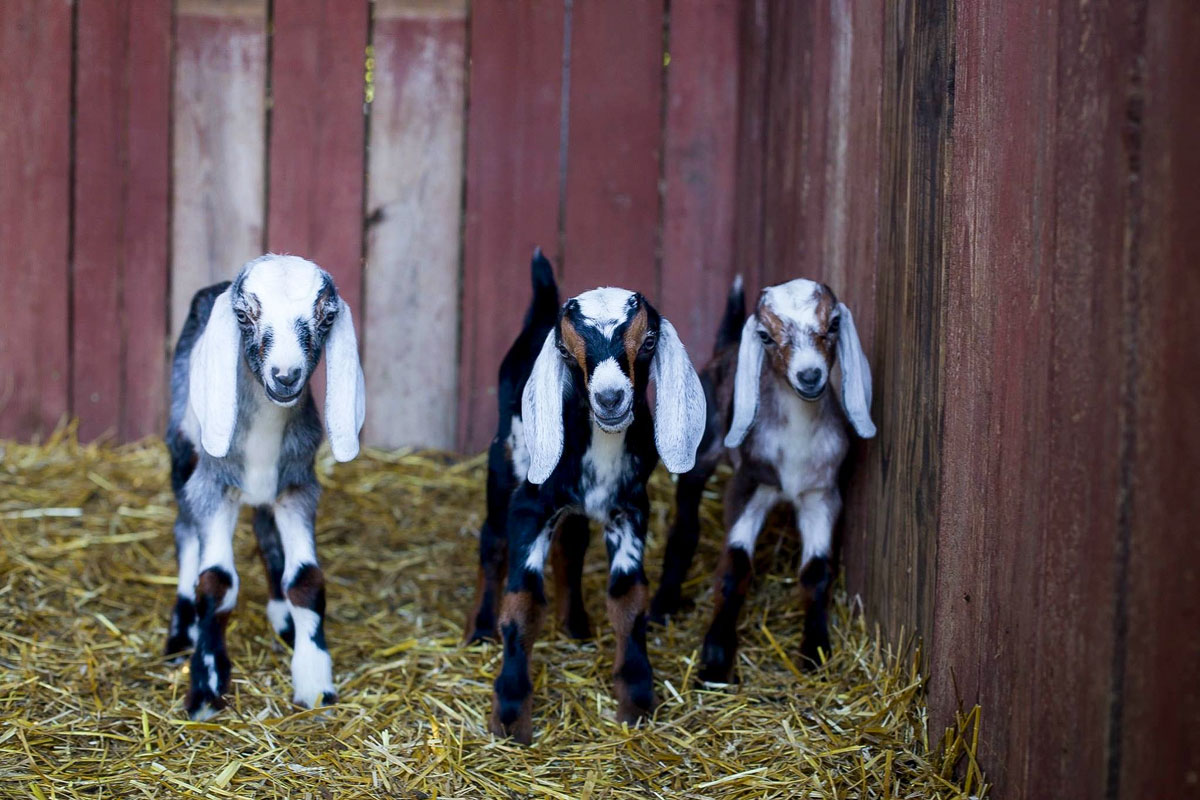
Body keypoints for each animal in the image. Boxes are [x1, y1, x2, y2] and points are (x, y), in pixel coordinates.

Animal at [164, 254, 365, 720]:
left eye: (327, 317)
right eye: (243, 316)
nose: (286, 376)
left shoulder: (297, 488)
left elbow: (307, 580)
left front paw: (314, 681)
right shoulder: (212, 488)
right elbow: (216, 583)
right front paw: (206, 689)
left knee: (265, 531)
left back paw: (283, 618)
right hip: (183, 451)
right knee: (185, 531)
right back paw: (181, 631)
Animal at [464, 250, 707, 743]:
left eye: (648, 340)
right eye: (564, 350)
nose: (610, 398)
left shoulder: (630, 510)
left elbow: (629, 599)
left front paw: (637, 699)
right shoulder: (530, 508)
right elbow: (522, 603)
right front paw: (510, 714)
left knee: (572, 543)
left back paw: (574, 624)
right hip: (504, 466)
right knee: (492, 539)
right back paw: (479, 629)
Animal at [650, 277, 875, 683]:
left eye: (834, 323)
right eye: (766, 336)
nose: (809, 375)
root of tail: (724, 349)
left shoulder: (821, 495)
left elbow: (817, 572)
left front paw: (815, 649)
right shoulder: (748, 486)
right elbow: (735, 566)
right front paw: (716, 658)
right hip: (699, 450)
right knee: (684, 526)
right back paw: (663, 604)